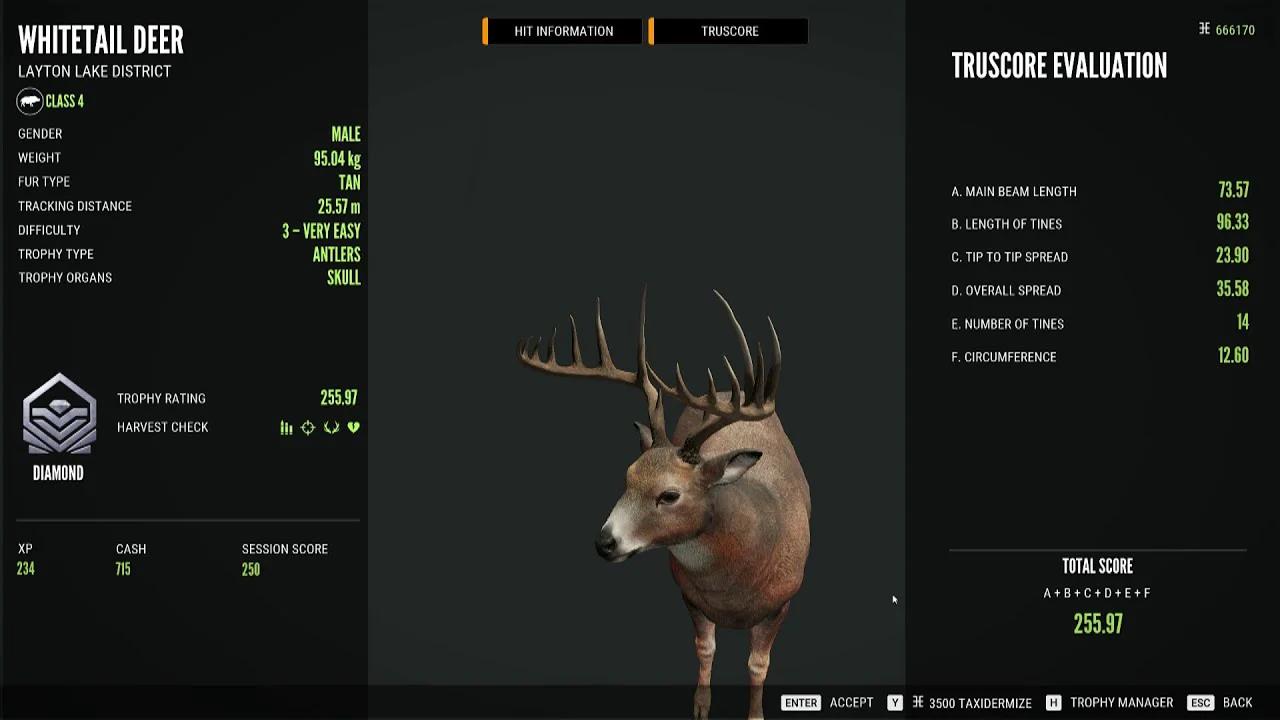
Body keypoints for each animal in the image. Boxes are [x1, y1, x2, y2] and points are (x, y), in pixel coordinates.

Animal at [517, 288, 810, 720]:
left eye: (669, 494)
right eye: (627, 476)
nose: (604, 542)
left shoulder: (783, 601)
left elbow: (759, 665)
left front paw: (755, 715)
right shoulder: (689, 595)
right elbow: (704, 648)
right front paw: (701, 708)